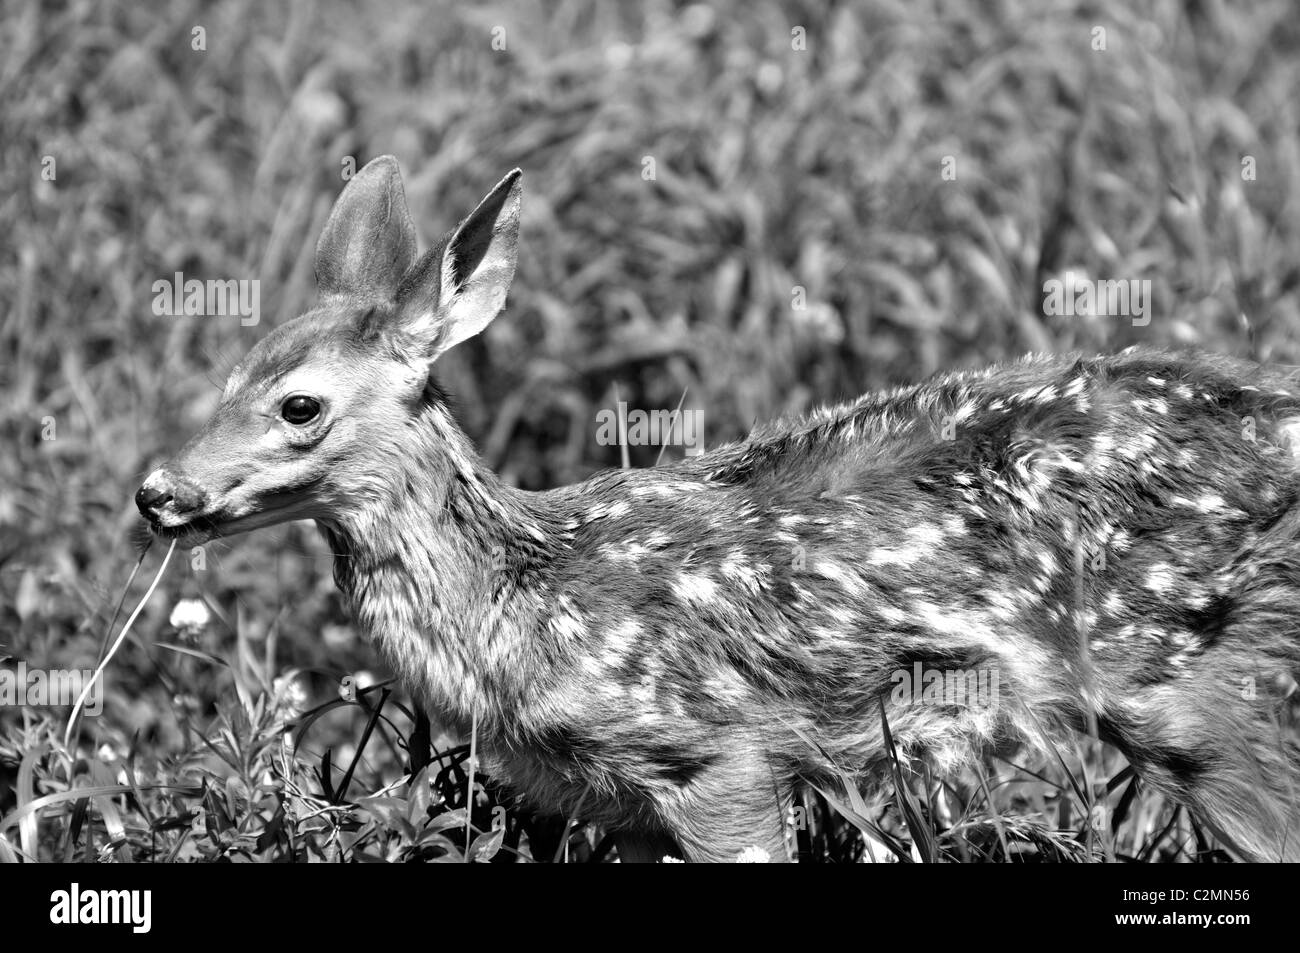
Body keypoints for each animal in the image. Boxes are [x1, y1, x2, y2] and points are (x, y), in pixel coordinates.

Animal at [135, 156, 1300, 862]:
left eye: (299, 405)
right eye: (230, 373)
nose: (159, 493)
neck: (525, 599)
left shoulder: (714, 752)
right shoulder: (622, 802)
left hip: (1180, 667)